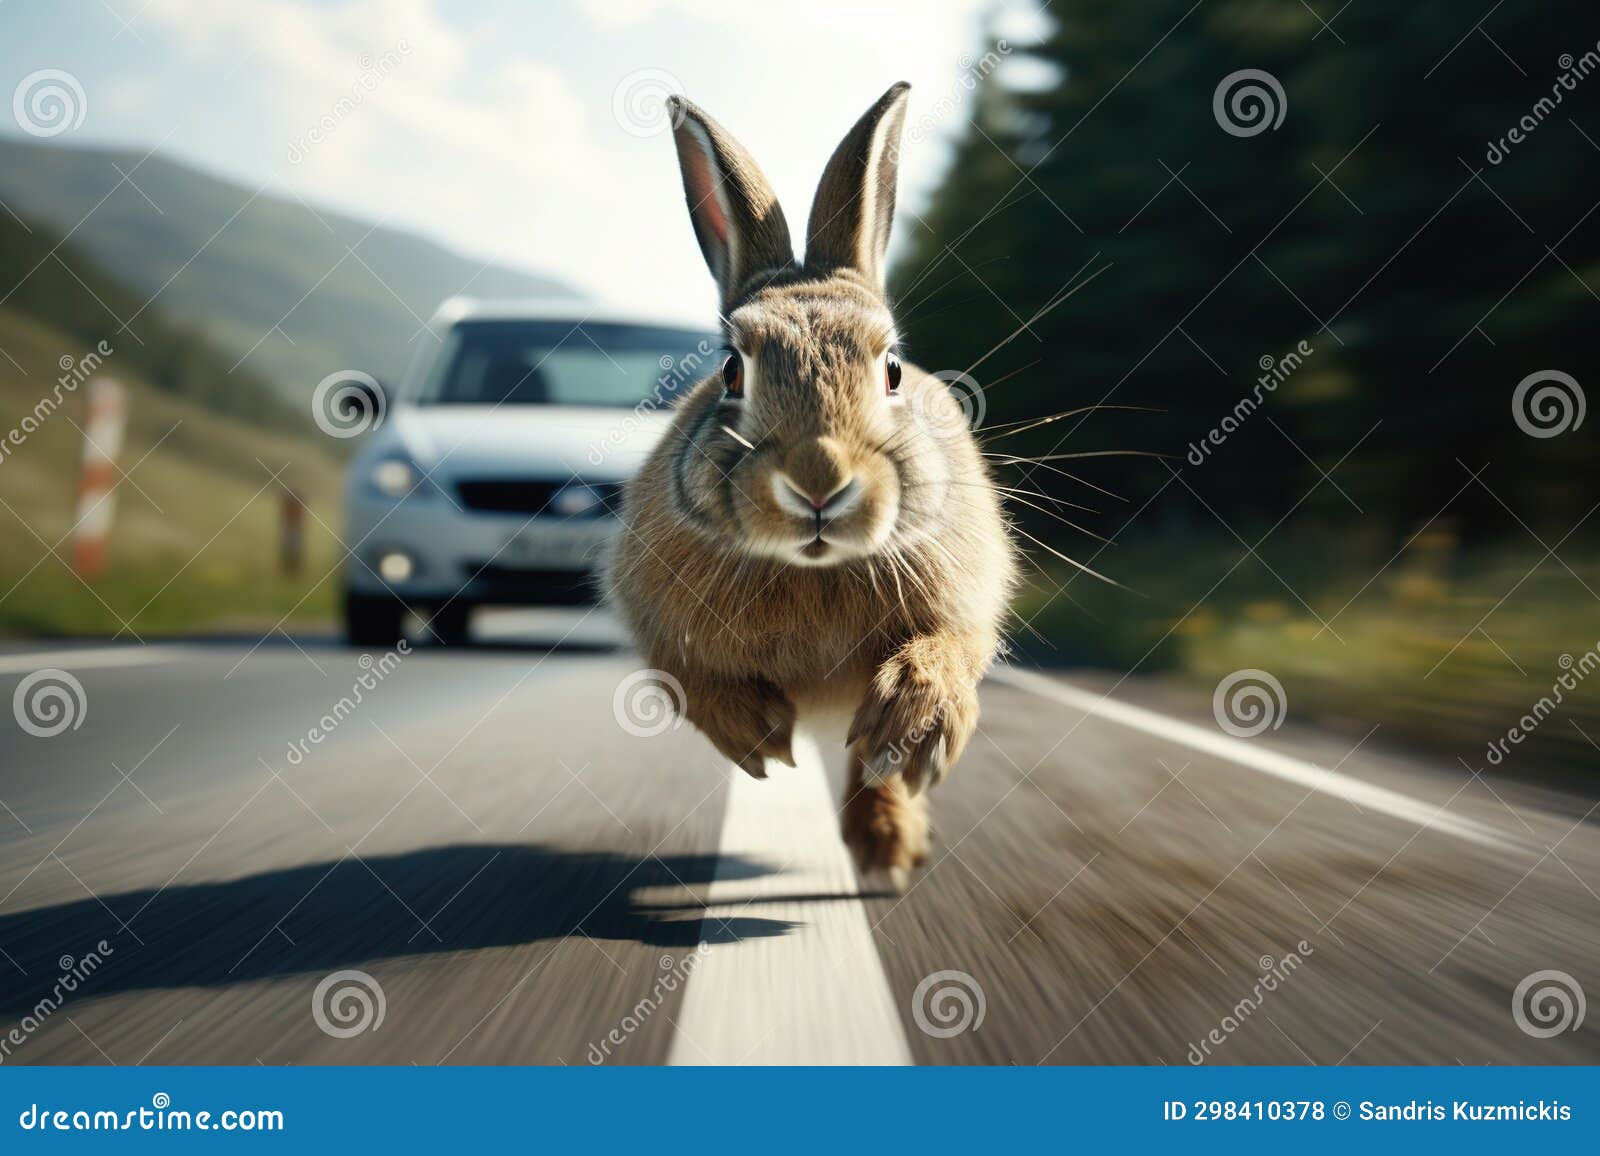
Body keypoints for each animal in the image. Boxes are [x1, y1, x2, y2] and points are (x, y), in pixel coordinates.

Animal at [605, 82, 1017, 887]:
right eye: (731, 369)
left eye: (892, 368)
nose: (820, 480)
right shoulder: (653, 616)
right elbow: (688, 673)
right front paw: (757, 733)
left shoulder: (965, 596)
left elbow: (947, 653)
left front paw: (915, 727)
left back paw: (887, 844)